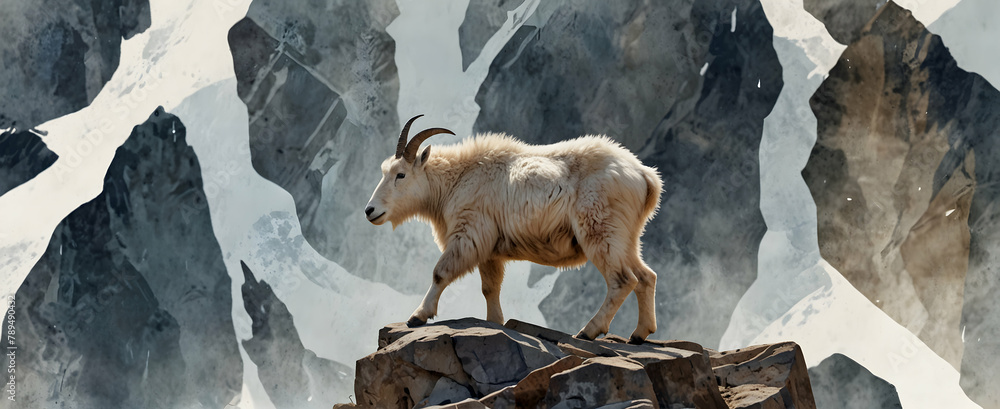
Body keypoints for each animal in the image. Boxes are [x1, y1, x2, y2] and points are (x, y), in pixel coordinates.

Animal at [364, 115, 663, 342]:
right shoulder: (489, 248)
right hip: (625, 236)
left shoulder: (469, 231)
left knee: (622, 280)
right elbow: (490, 288)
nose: (370, 211)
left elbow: (441, 273)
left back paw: (588, 331)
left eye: (401, 175)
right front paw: (495, 321)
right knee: (646, 276)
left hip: (599, 229)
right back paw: (639, 334)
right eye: (383, 171)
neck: (457, 179)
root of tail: (645, 175)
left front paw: (418, 315)